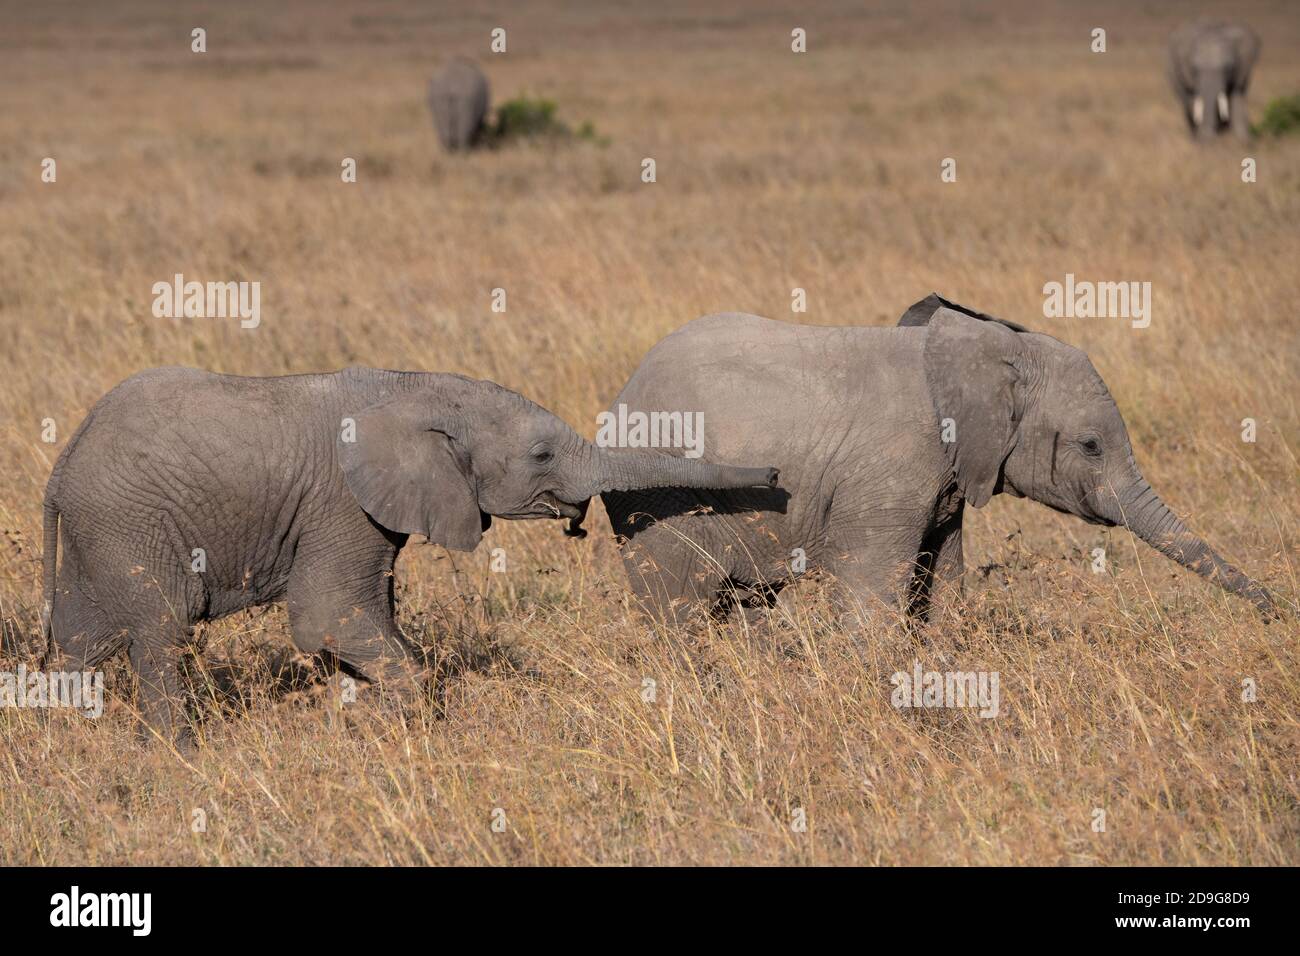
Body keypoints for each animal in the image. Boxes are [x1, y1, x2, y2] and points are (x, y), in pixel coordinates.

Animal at [39, 367, 777, 747]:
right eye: (541, 454)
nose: (774, 475)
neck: (418, 387)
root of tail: (64, 460)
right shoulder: (341, 502)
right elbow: (328, 617)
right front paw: (398, 726)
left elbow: (367, 621)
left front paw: (363, 723)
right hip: (130, 520)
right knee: (162, 631)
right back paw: (176, 753)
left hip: (103, 533)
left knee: (84, 637)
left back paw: (66, 737)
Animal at [591, 295, 1278, 630]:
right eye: (1090, 446)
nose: (1276, 611)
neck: (986, 350)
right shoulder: (889, 474)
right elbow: (872, 599)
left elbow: (939, 581)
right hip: (660, 496)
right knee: (681, 610)